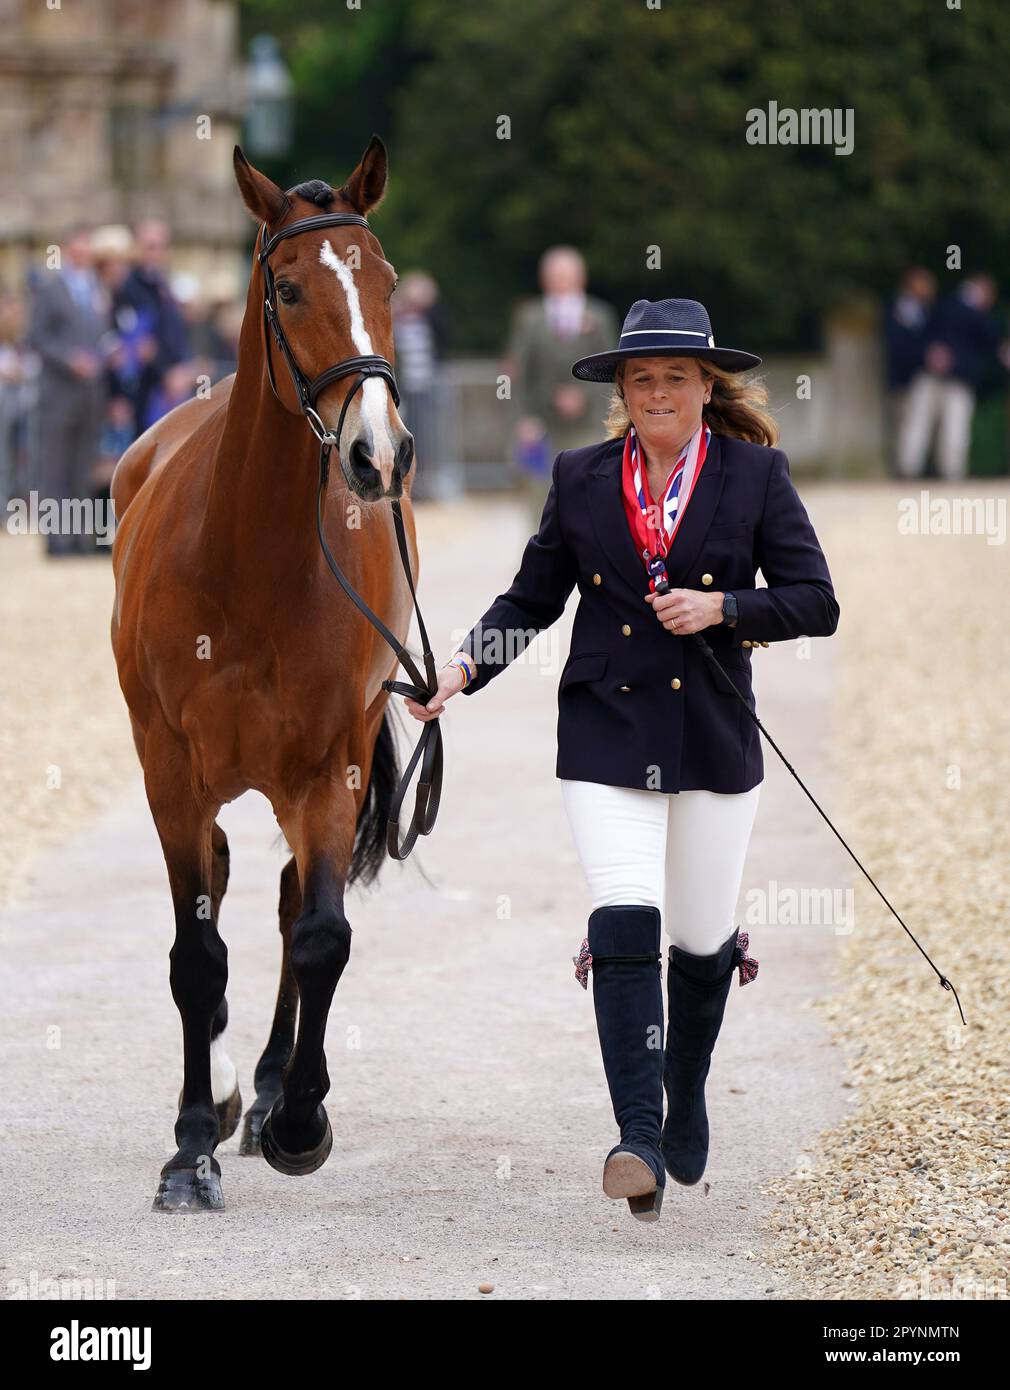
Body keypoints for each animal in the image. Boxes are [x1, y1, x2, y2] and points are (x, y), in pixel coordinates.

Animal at [110, 139, 417, 1212]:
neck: (244, 556)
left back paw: (278, 1084)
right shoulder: (169, 767)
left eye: (387, 283)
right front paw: (190, 1147)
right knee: (224, 881)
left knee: (290, 901)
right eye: (288, 288)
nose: (379, 453)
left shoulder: (329, 765)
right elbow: (195, 953)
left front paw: (299, 1118)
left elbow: (321, 934)